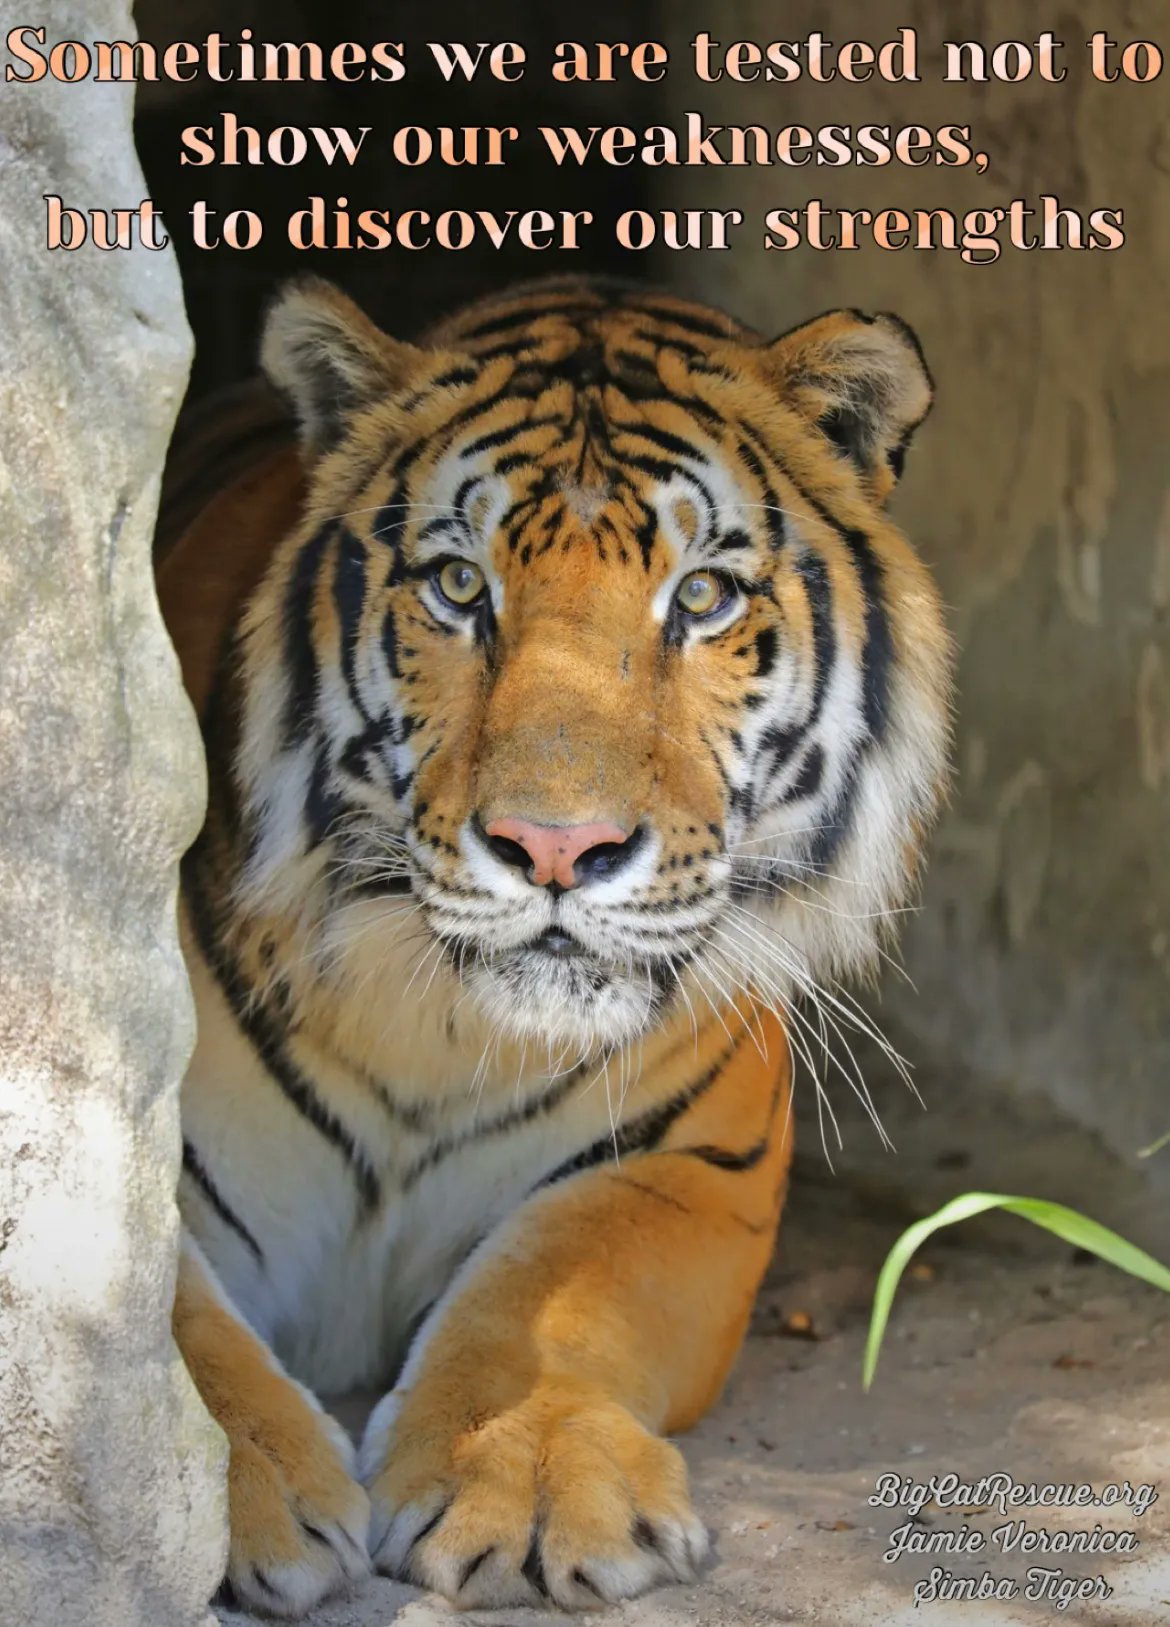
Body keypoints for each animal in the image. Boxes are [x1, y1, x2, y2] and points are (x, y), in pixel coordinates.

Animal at [158, 273, 952, 1618]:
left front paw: (523, 1479)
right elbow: (154, 1305)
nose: (556, 846)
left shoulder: (695, 1168)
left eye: (702, 597)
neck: (432, 1031)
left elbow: (557, 1286)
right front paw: (234, 1481)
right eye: (457, 586)